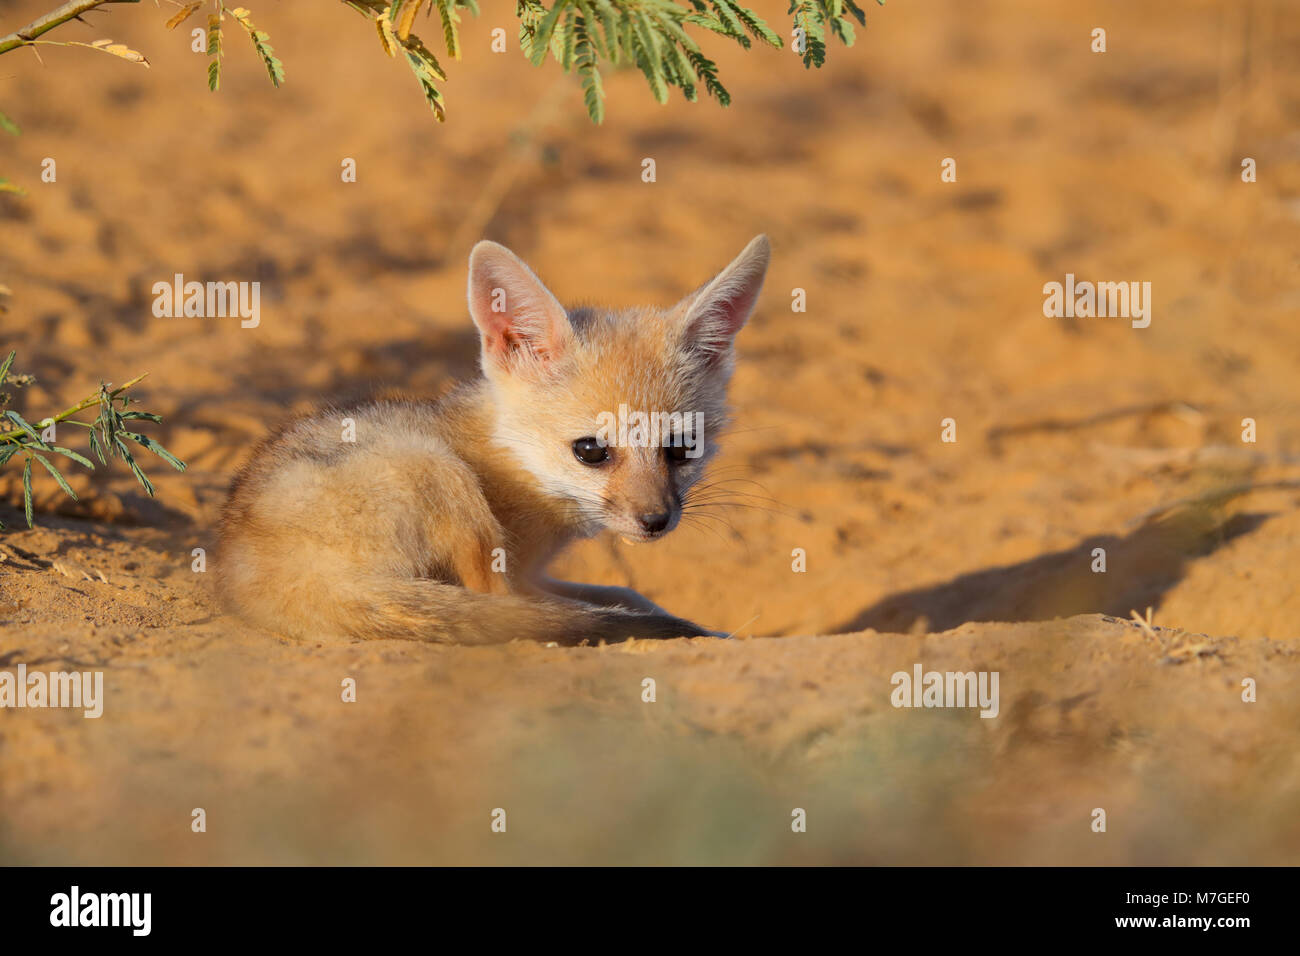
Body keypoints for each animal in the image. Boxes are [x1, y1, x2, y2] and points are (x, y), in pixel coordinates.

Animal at [216, 234, 770, 645]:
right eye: (590, 451)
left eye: (683, 448)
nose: (655, 521)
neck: (510, 462)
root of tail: (244, 561)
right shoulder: (513, 564)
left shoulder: (536, 571)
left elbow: (630, 593)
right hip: (438, 473)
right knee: (504, 606)